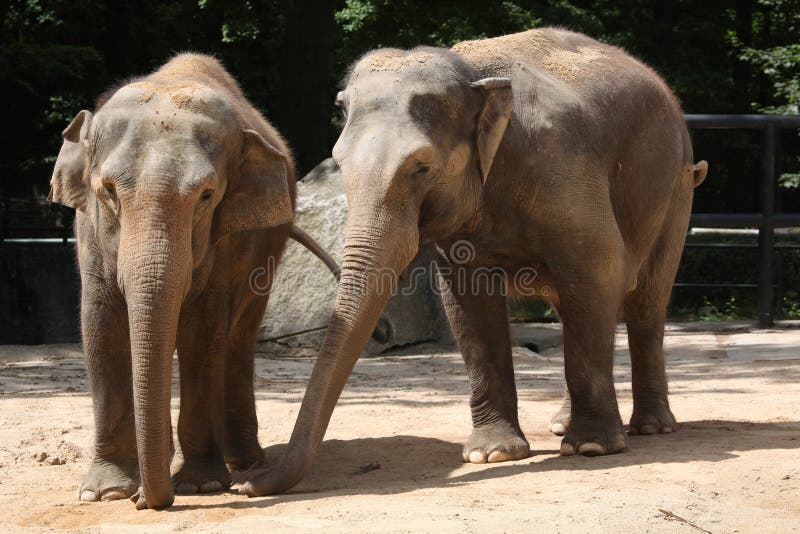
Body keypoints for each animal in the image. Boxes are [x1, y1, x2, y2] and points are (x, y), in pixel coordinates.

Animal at [49, 53, 339, 509]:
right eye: (108, 191)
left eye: (206, 196)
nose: (146, 501)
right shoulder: (88, 233)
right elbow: (100, 325)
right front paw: (106, 492)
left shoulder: (229, 241)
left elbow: (203, 332)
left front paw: (199, 486)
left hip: (267, 248)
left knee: (238, 338)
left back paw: (243, 463)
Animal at [242, 28, 708, 497]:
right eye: (338, 164)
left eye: (421, 166)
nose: (246, 484)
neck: (471, 75)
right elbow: (469, 303)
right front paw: (492, 454)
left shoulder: (565, 168)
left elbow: (598, 269)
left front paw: (591, 448)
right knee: (572, 305)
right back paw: (562, 424)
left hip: (678, 185)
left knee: (644, 299)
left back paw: (650, 427)